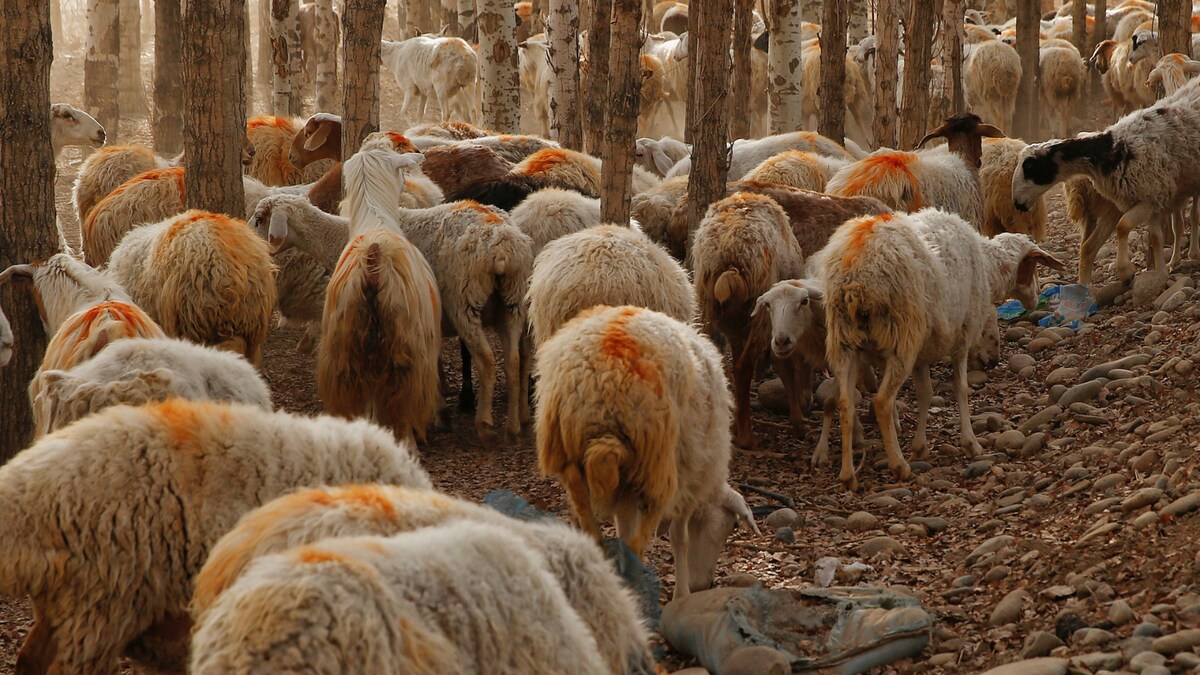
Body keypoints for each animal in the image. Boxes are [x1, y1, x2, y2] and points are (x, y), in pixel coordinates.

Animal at [342, 143, 534, 442]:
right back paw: (515, 425)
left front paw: (438, 411)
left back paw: (484, 423)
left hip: (465, 304)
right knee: (513, 360)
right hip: (512, 303)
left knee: (487, 360)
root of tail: (501, 246)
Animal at [535, 305, 760, 599]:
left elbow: (623, 527)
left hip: (571, 453)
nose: (704, 585)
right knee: (637, 543)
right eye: (727, 527)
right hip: (657, 463)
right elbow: (679, 537)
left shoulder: (626, 493)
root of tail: (604, 383)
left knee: (590, 522)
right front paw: (682, 593)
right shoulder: (690, 477)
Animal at [690, 194, 805, 448]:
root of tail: (730, 256)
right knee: (744, 366)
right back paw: (746, 438)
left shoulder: (734, 328)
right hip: (760, 308)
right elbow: (784, 363)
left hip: (707, 304)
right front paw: (797, 422)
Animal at [820, 210, 1065, 490]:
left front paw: (920, 447)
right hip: (902, 338)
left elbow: (925, 394)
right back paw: (899, 466)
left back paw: (847, 475)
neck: (988, 267)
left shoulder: (924, 352)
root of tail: (855, 275)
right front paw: (971, 444)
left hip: (844, 343)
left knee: (845, 404)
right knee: (882, 402)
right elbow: (961, 388)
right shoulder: (961, 337)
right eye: (1033, 267)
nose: (1035, 299)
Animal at [1012, 85, 1200, 286]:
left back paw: (1192, 253)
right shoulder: (1147, 199)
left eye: (1029, 166)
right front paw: (1161, 273)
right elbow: (1154, 237)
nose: (1017, 203)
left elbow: (1123, 226)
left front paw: (1126, 271)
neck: (1111, 151)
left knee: (1192, 215)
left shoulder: (1149, 198)